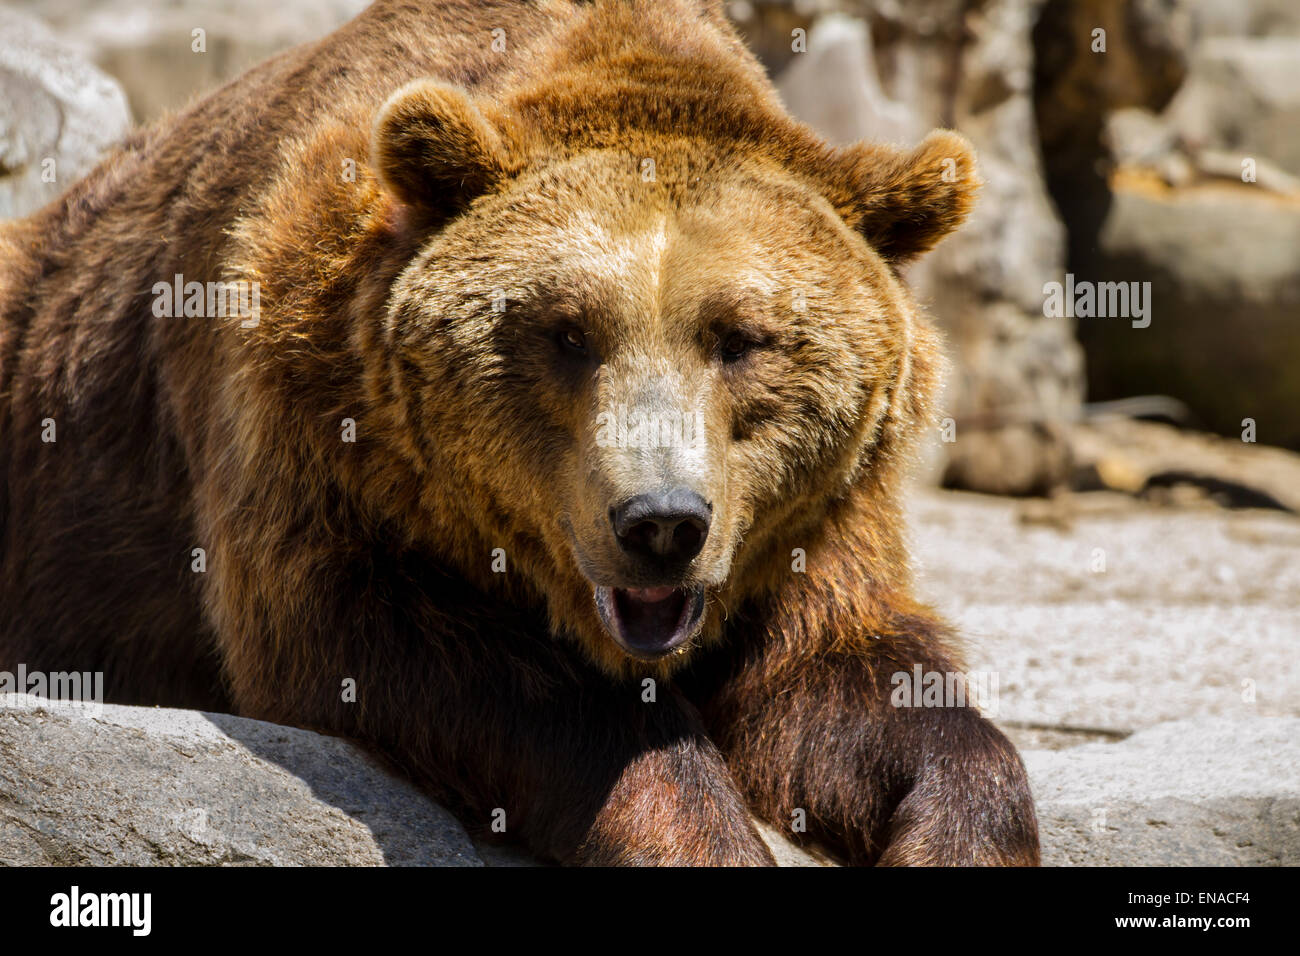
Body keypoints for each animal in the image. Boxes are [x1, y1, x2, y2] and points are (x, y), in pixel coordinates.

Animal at [0, 0, 1039, 865]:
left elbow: (849, 678)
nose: (661, 523)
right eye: (568, 333)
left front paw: (958, 827)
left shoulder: (813, 525)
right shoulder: (312, 425)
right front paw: (693, 827)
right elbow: (442, 661)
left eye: (740, 338)